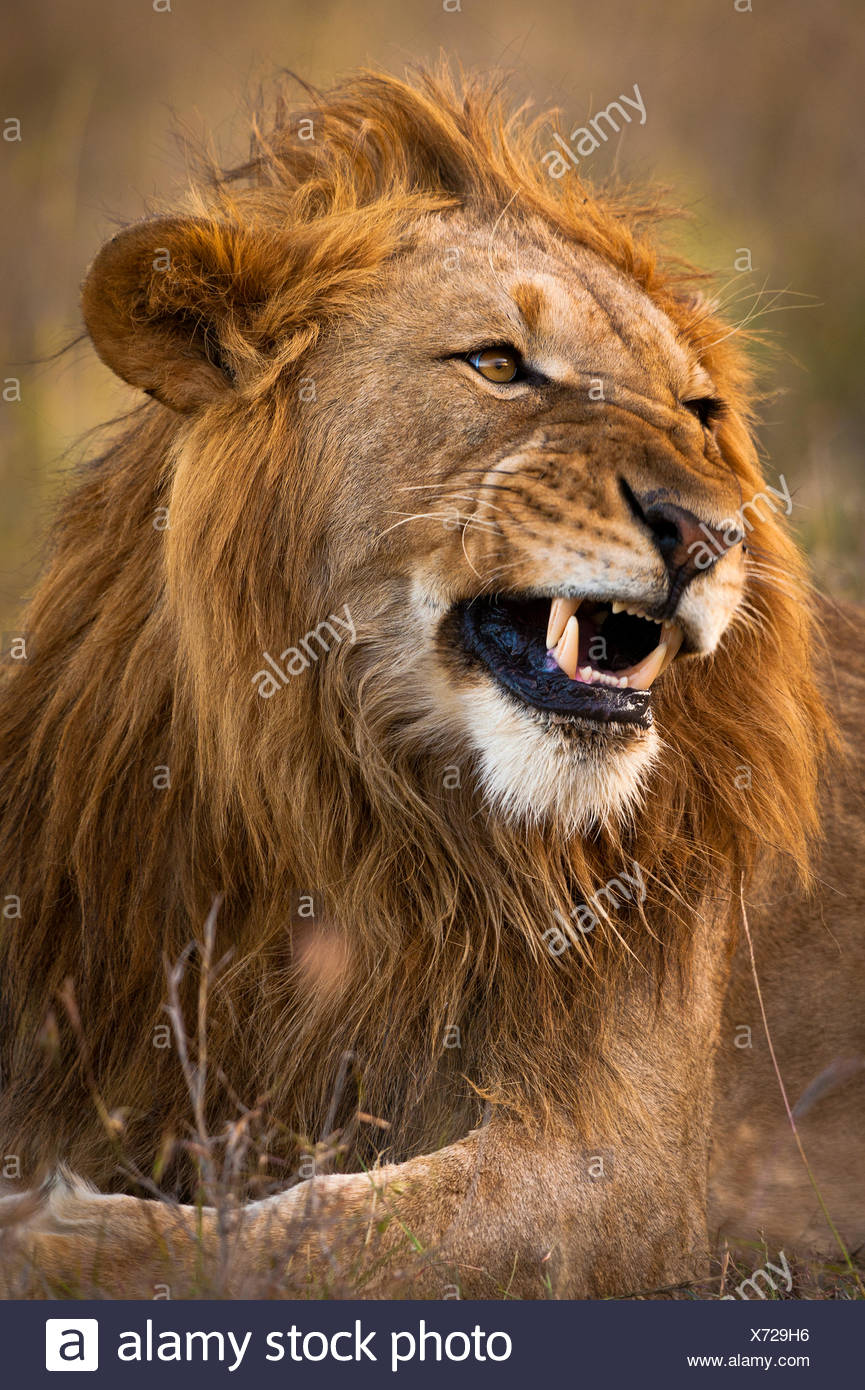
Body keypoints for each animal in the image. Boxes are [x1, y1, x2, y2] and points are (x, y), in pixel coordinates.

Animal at [0, 65, 862, 1299]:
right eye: (497, 365)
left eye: (700, 413)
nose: (709, 534)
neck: (358, 803)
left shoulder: (632, 1168)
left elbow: (333, 1232)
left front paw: (64, 1241)